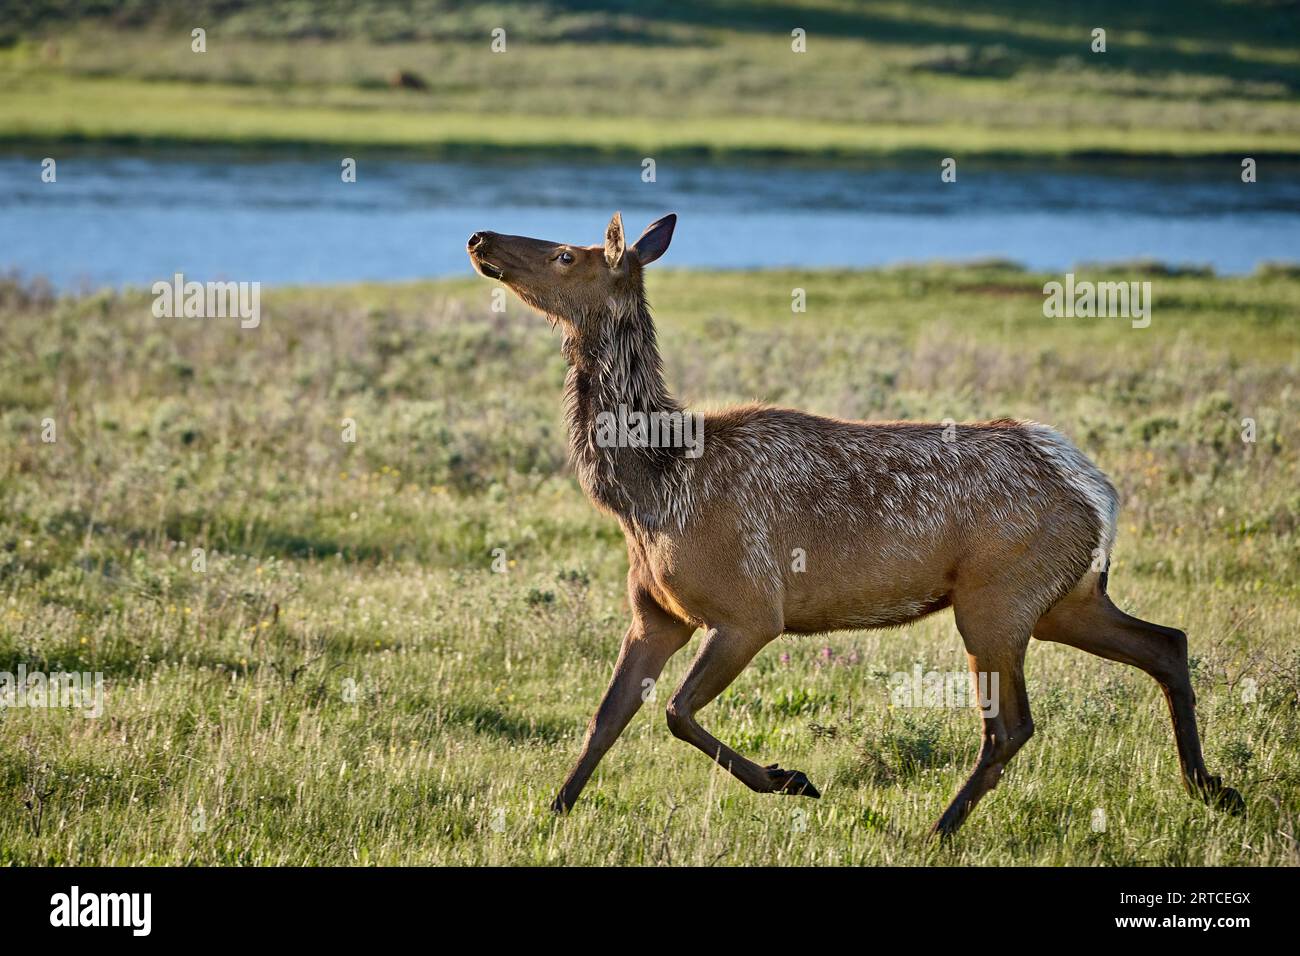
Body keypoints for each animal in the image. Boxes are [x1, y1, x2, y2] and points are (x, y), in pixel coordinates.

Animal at [466, 212, 1244, 837]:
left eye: (566, 254)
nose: (480, 238)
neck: (648, 489)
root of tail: (1098, 489)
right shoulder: (656, 614)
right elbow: (606, 719)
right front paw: (550, 811)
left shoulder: (750, 610)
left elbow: (676, 714)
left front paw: (791, 779)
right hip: (1063, 598)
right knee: (1167, 643)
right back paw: (1211, 788)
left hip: (997, 600)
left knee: (1011, 727)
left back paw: (939, 829)